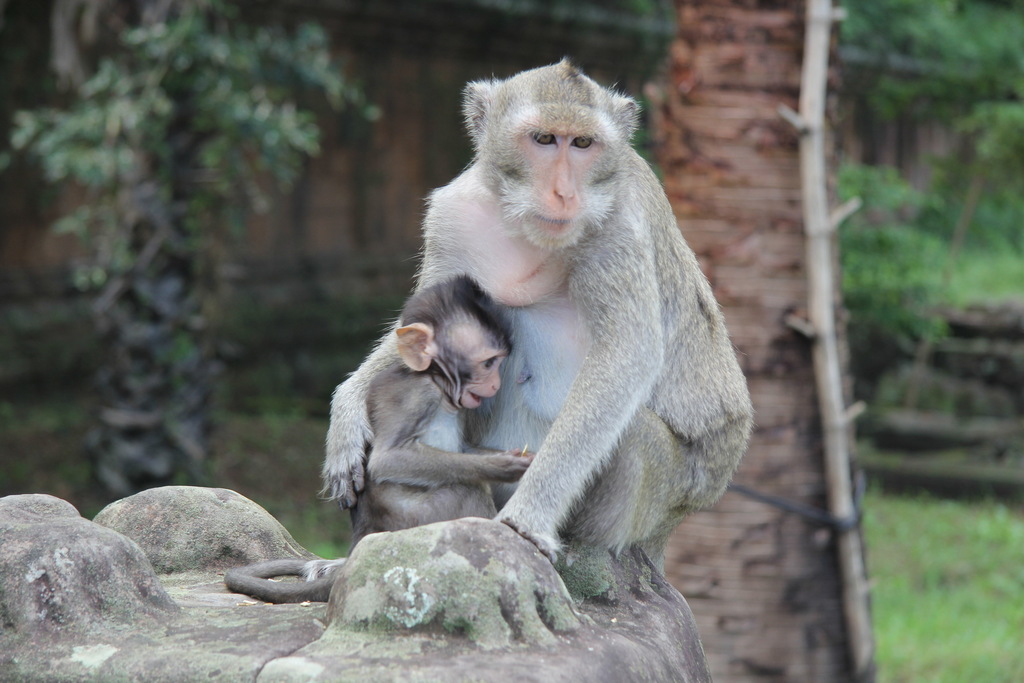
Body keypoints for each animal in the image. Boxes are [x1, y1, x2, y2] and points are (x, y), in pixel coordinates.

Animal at [225, 276, 533, 603]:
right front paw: (502, 466)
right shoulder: (418, 396)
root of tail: (363, 537)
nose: (496, 383)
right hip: (414, 522)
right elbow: (388, 460)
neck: (435, 379)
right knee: (467, 489)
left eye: (498, 363)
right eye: (488, 363)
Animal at [322, 60, 754, 569]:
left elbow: (627, 354)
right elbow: (427, 322)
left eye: (583, 144)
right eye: (545, 139)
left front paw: (527, 519)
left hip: (665, 495)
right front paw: (348, 412)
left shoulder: (618, 226)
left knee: (632, 436)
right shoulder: (453, 217)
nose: (565, 192)